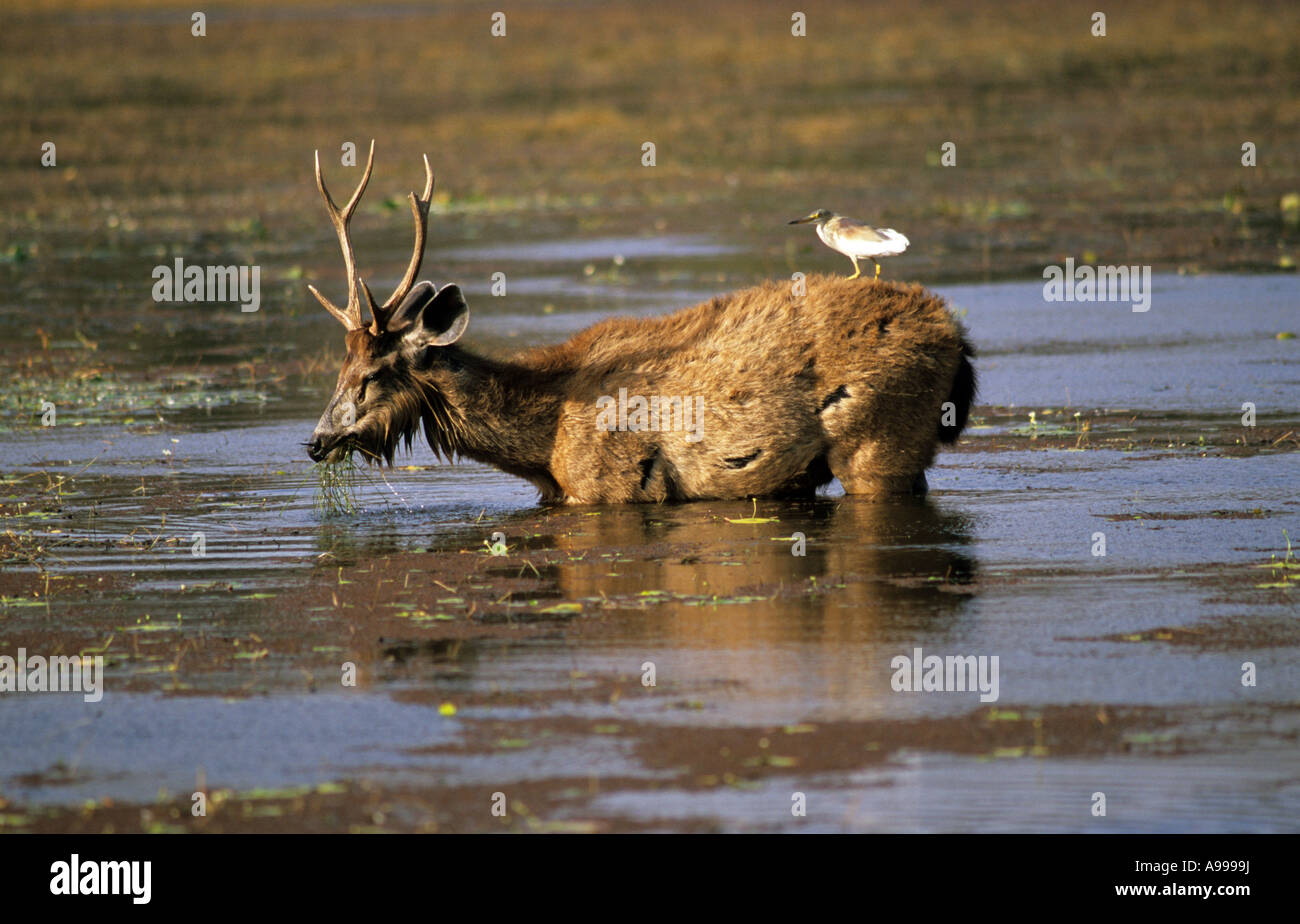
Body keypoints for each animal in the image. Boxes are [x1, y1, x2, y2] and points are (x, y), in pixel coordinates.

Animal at [305, 143, 977, 505]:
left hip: (879, 442)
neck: (542, 444)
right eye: (339, 367)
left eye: (371, 374)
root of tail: (958, 338)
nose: (314, 441)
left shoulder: (615, 489)